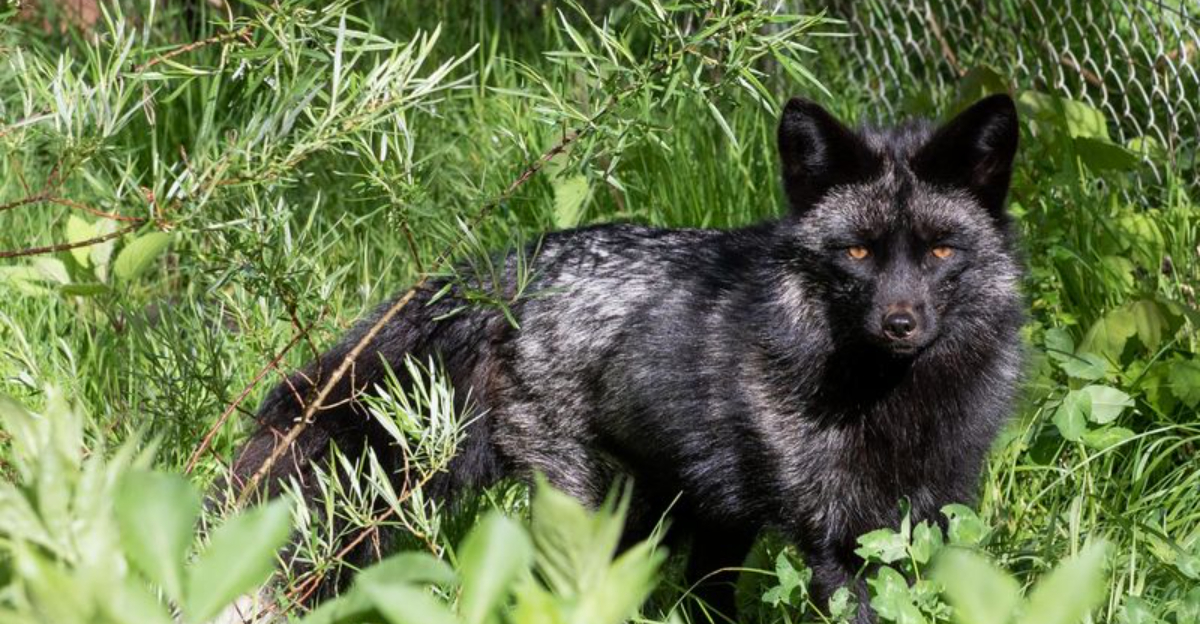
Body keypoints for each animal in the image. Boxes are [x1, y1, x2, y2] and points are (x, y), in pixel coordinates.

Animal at [231, 94, 1024, 622]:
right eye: (857, 252)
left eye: (941, 251)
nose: (900, 323)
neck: (895, 403)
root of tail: (505, 271)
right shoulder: (834, 541)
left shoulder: (932, 516)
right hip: (594, 510)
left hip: (695, 512)